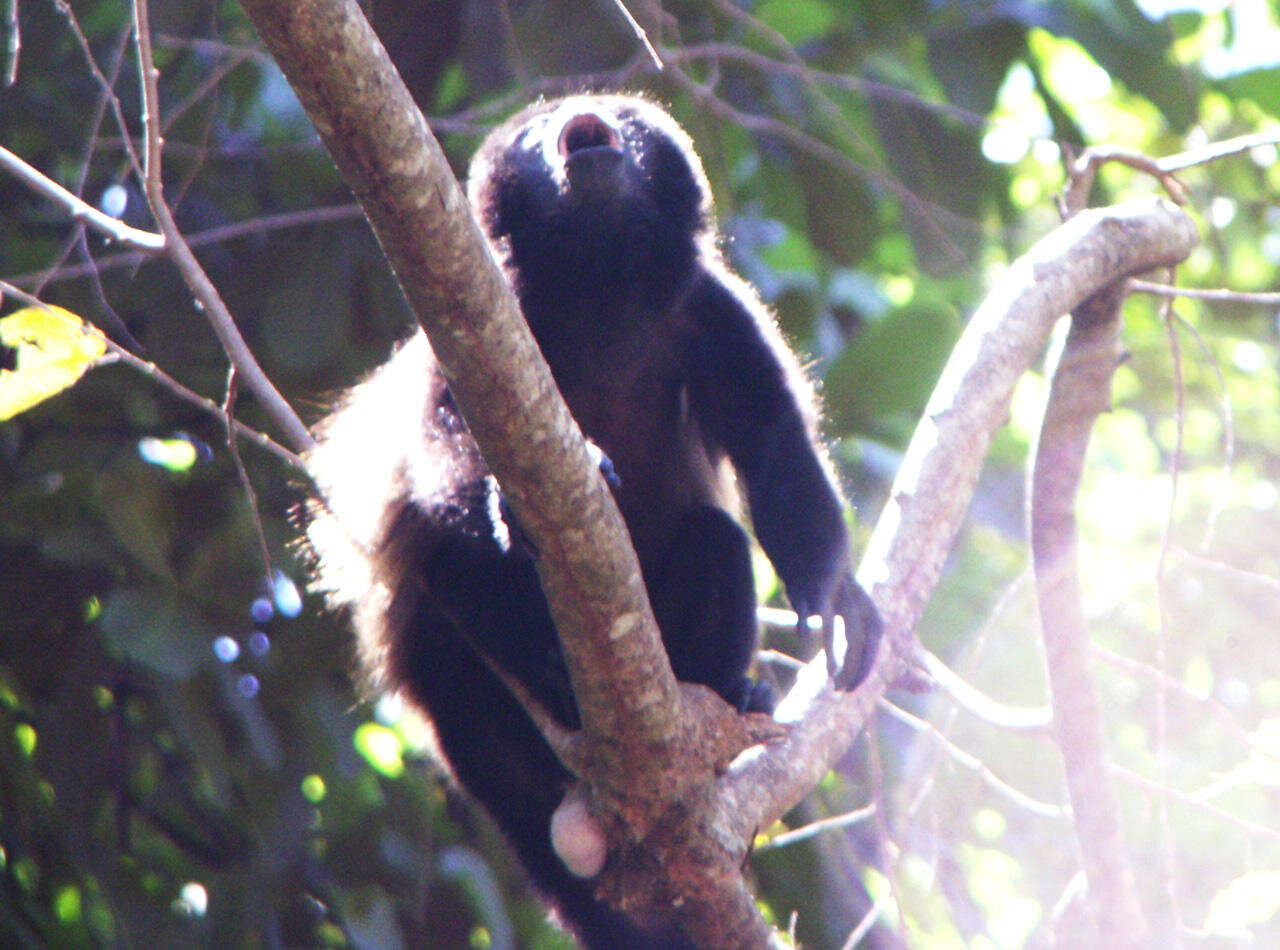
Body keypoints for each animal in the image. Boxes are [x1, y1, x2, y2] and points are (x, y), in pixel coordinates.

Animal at [305, 94, 881, 948]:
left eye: (624, 116)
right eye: (530, 132)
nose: (576, 118)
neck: (599, 290)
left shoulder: (713, 309)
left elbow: (773, 439)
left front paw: (835, 595)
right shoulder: (472, 321)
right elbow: (438, 447)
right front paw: (501, 502)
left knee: (717, 541)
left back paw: (728, 697)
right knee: (448, 570)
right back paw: (551, 670)